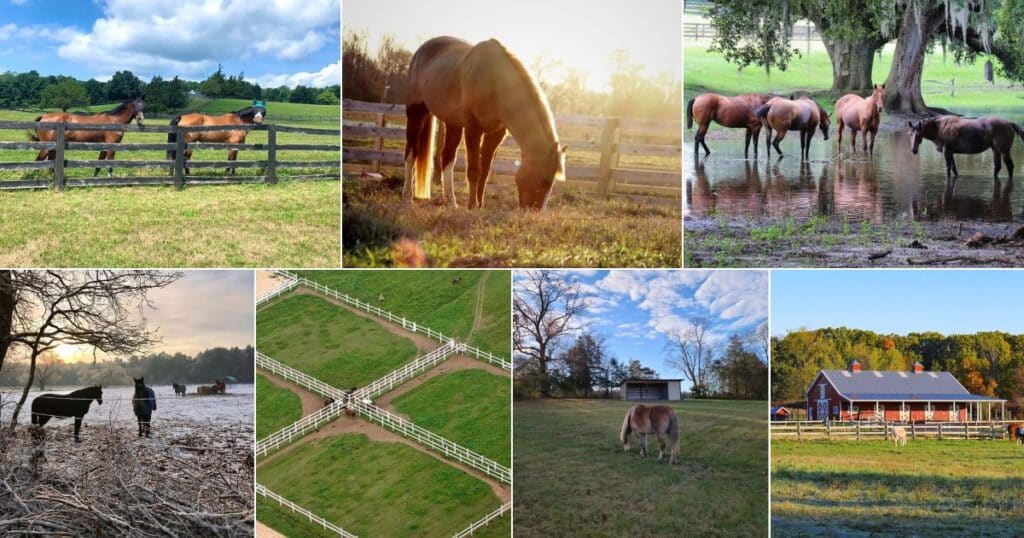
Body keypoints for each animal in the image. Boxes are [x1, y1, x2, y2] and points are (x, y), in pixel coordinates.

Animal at [404, 36, 566, 210]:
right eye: (545, 181)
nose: (534, 211)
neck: (495, 82)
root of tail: (421, 51)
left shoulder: (495, 134)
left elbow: (485, 170)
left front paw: (480, 205)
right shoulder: (473, 130)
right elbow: (474, 170)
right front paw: (472, 205)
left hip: (453, 123)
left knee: (447, 157)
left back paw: (451, 202)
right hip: (416, 113)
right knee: (411, 154)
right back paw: (407, 197)